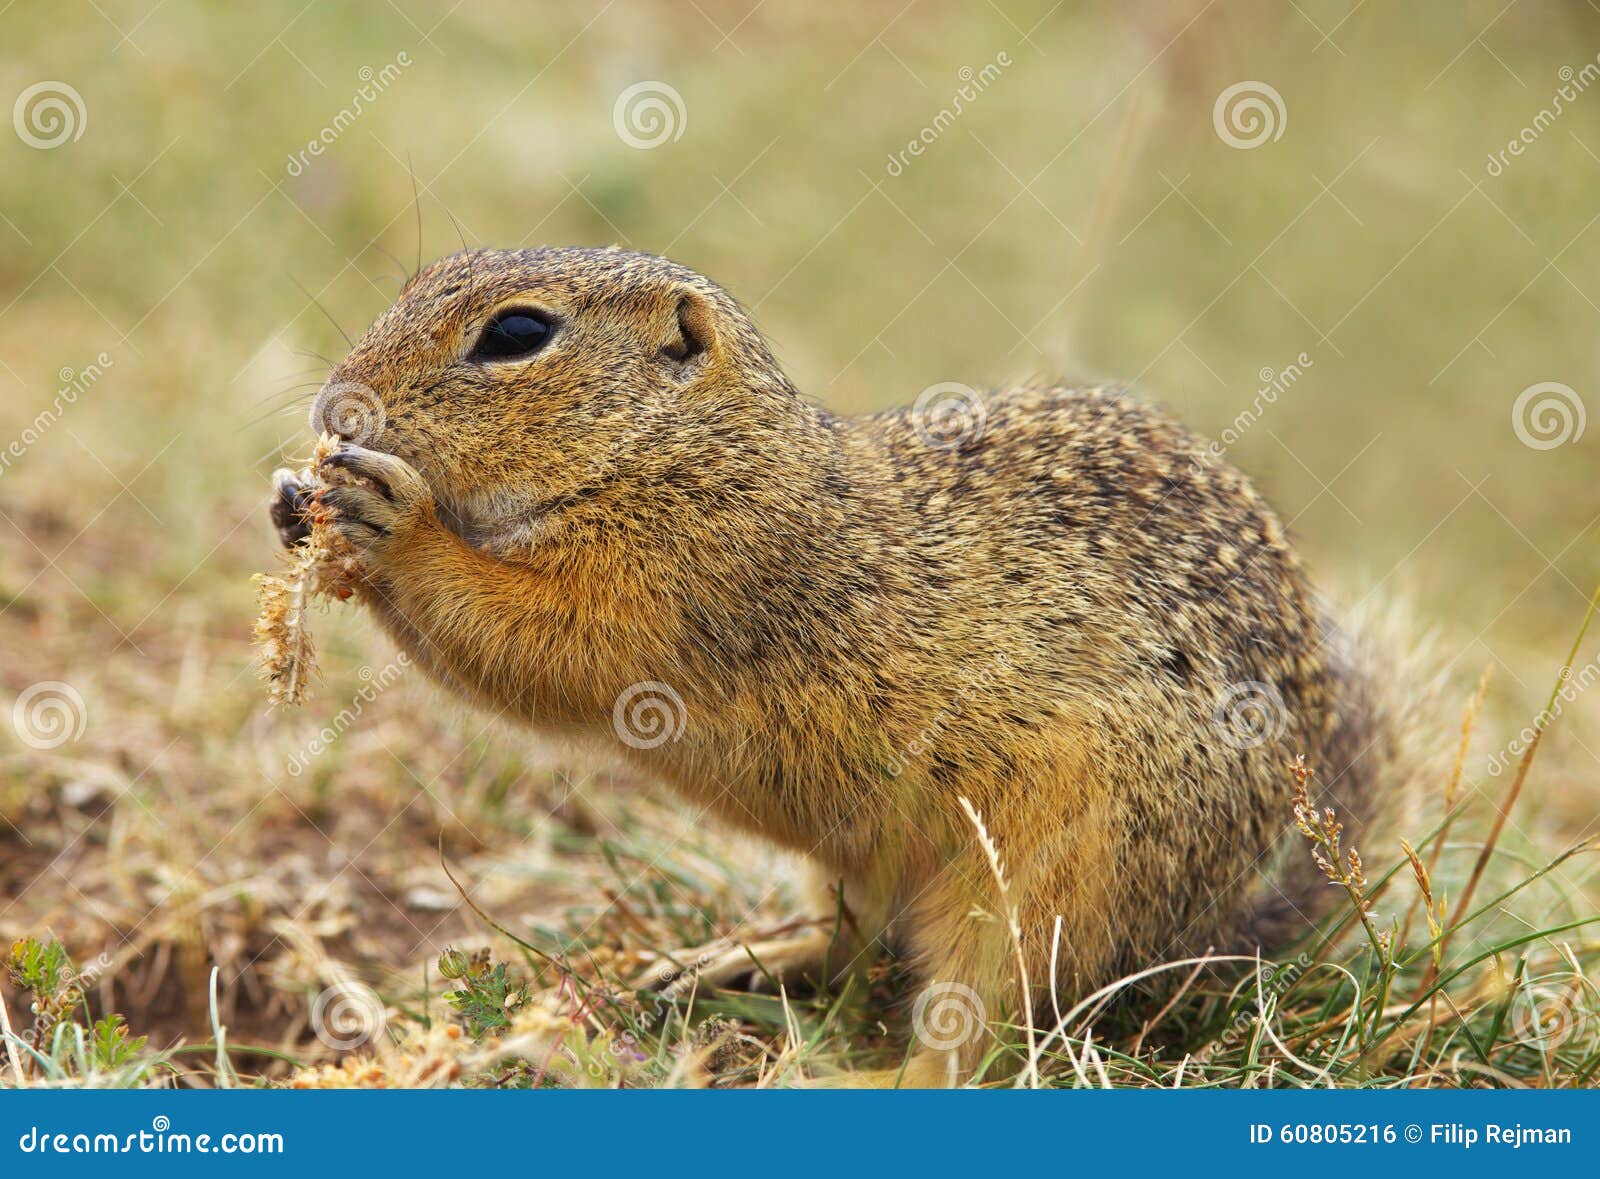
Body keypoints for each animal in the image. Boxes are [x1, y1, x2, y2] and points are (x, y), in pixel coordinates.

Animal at [270, 246, 1429, 1086]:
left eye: (516, 334)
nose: (334, 406)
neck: (688, 453)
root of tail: (1204, 935)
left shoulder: (678, 579)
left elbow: (532, 644)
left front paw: (394, 516)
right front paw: (296, 500)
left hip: (1050, 877)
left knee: (973, 1039)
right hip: (873, 865)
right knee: (854, 945)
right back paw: (729, 961)